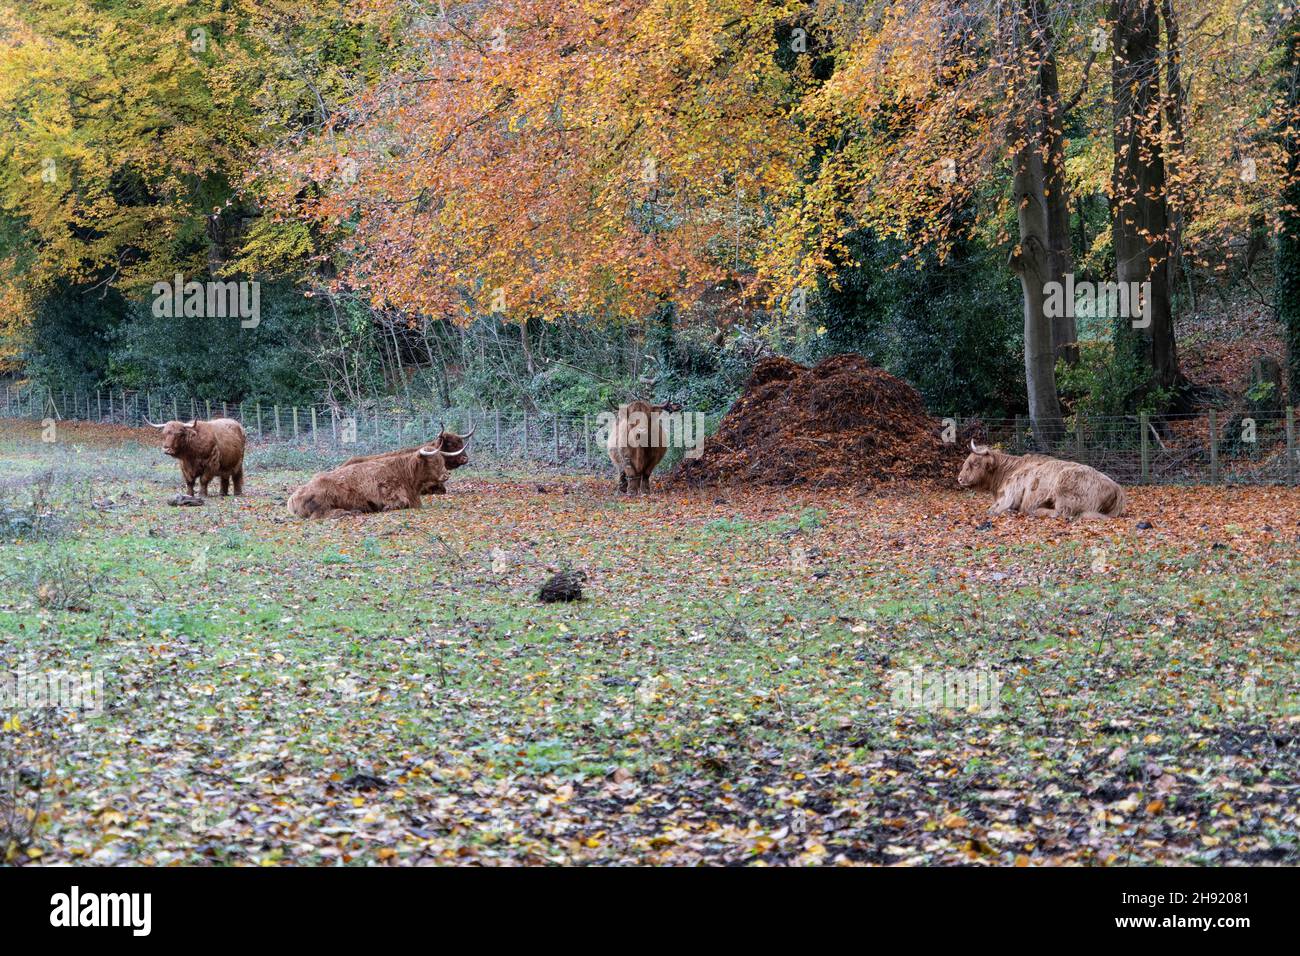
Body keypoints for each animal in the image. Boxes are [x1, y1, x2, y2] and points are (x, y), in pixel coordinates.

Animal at [286, 440, 458, 519]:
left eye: (442, 460)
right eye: (433, 461)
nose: (446, 475)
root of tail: (292, 498)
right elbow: (401, 503)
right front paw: (385, 508)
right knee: (320, 515)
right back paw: (350, 512)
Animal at [958, 441, 1127, 519]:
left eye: (975, 463)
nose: (959, 478)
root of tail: (1116, 488)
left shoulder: (1009, 497)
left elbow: (994, 509)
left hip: (1064, 491)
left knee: (1061, 513)